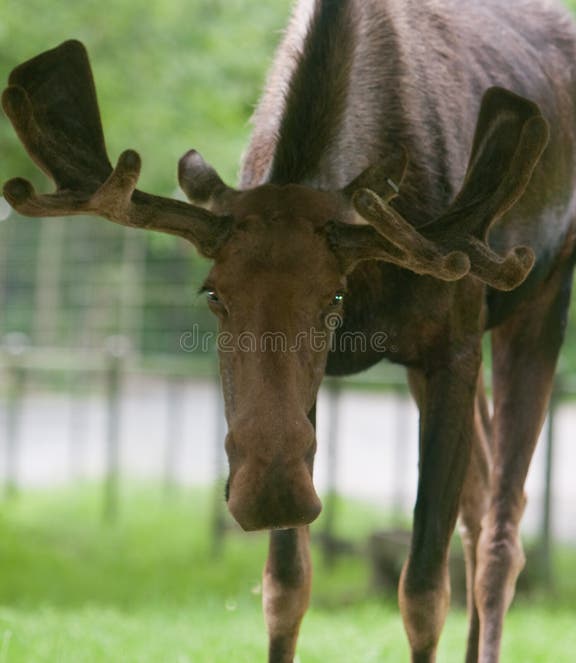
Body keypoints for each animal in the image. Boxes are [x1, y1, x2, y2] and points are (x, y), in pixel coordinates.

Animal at [3, 0, 576, 661]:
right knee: (480, 508)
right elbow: (285, 586)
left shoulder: (454, 345)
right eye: (212, 295)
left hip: (541, 299)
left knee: (503, 535)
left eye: (334, 298)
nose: (271, 491)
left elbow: (424, 590)